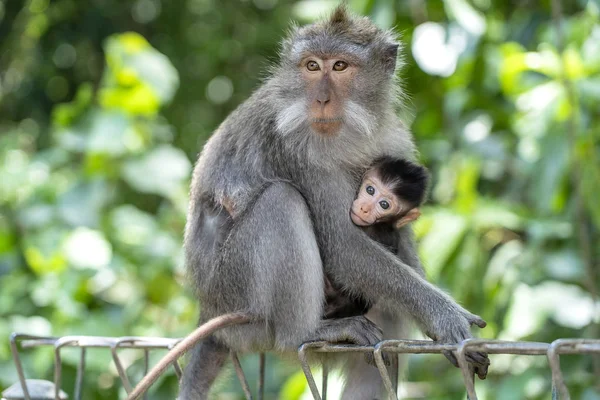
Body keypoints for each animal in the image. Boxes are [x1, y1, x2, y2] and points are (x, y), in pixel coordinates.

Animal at [182, 5, 488, 396]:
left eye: (340, 66)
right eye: (312, 66)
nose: (321, 99)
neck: (347, 131)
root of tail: (208, 310)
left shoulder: (392, 136)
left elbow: (399, 236)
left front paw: (436, 328)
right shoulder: (297, 150)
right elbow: (342, 243)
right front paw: (444, 317)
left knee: (386, 331)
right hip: (237, 300)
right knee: (281, 200)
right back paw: (304, 332)